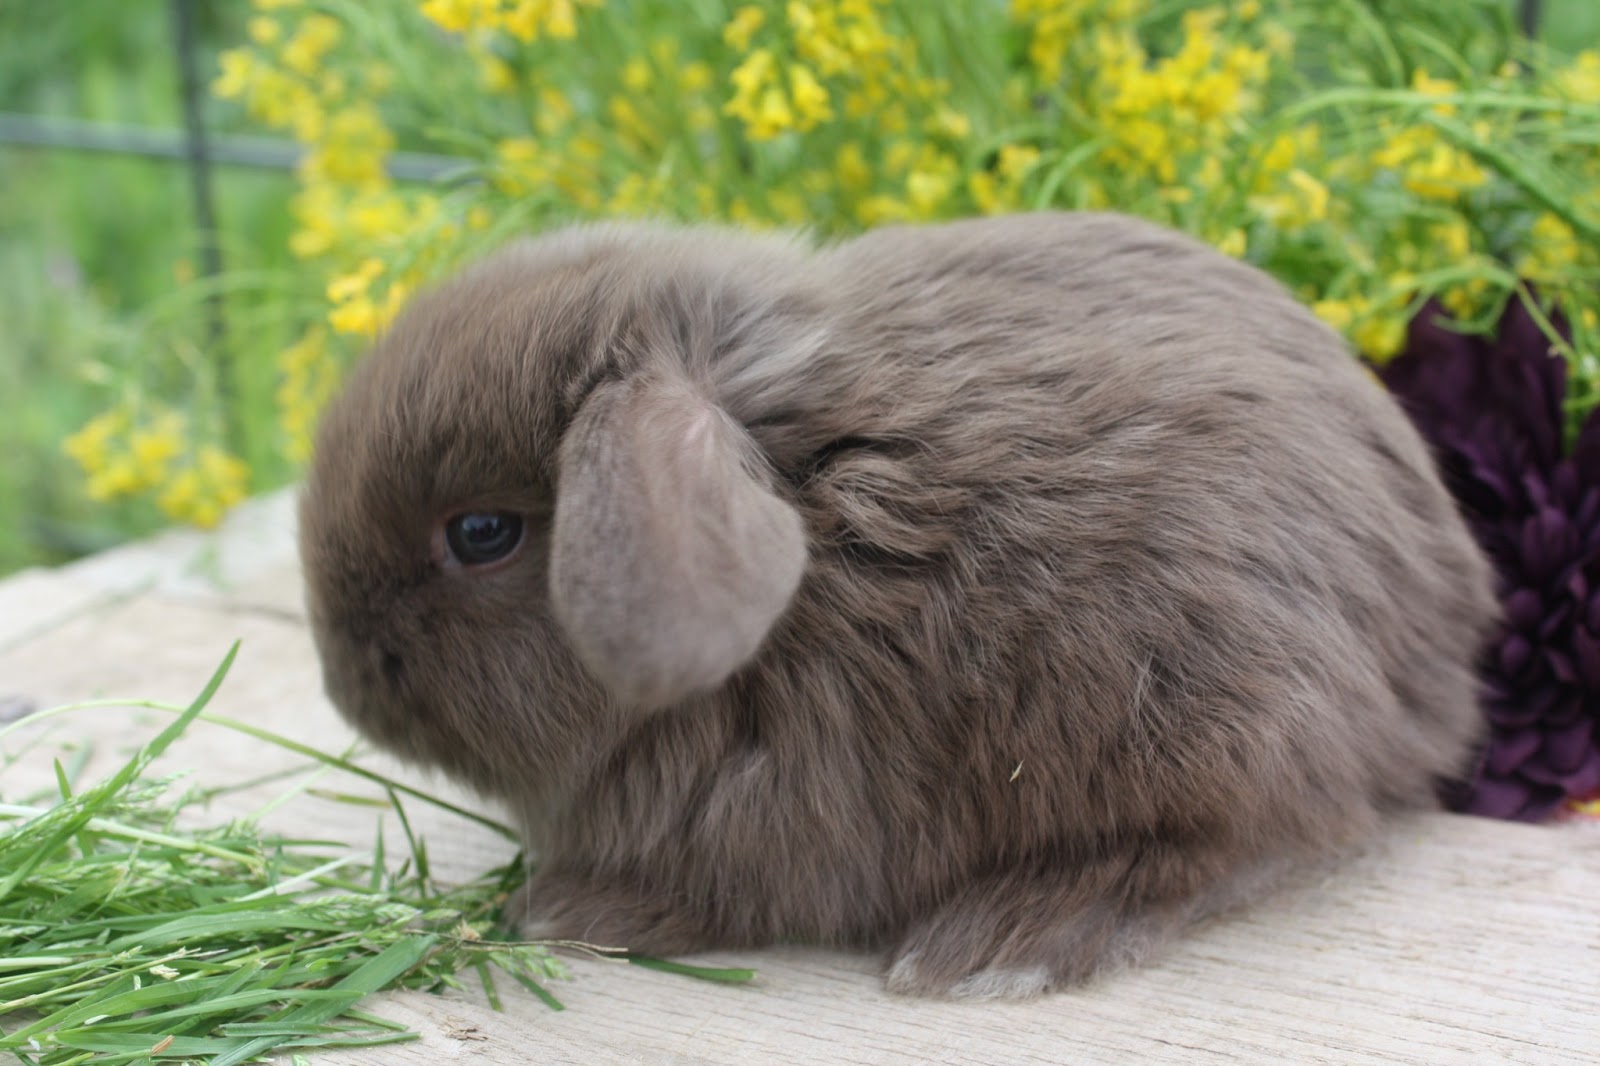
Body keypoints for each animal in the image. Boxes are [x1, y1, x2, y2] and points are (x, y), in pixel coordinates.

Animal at [299, 211, 1496, 999]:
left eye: (481, 534)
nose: (342, 677)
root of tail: (1444, 640)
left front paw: (566, 908)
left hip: (1220, 715)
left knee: (1274, 835)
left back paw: (1006, 939)